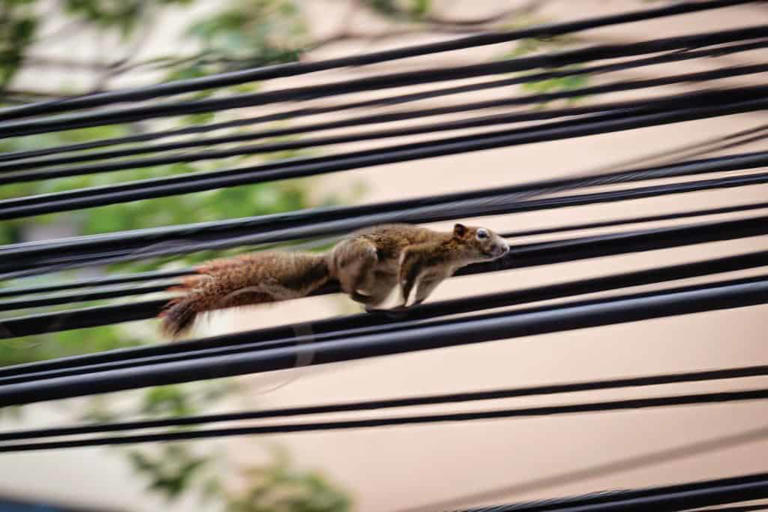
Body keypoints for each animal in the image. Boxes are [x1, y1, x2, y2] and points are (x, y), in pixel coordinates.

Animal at [159, 223, 509, 338]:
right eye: (482, 234)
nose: (506, 247)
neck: (452, 255)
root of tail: (329, 258)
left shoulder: (435, 276)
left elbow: (423, 289)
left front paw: (414, 303)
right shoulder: (419, 253)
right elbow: (409, 271)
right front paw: (405, 301)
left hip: (381, 284)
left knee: (368, 294)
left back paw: (371, 306)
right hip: (363, 255)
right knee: (347, 285)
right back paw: (359, 296)